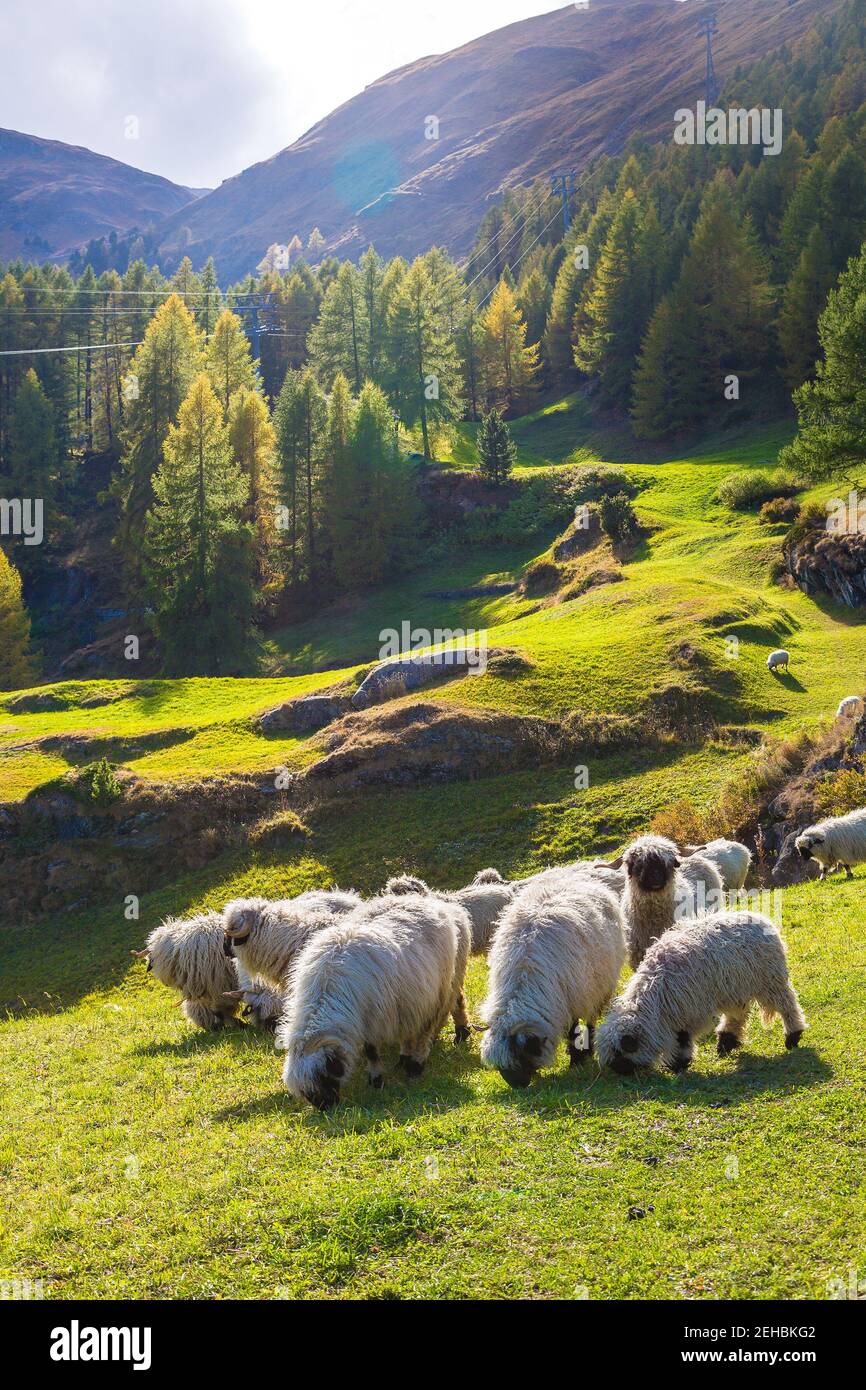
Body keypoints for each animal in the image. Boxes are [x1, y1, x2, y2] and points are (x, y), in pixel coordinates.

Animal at [278, 893, 472, 1109]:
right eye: (305, 1092)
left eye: (323, 1077)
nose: (326, 1108)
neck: (326, 989)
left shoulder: (373, 1019)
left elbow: (371, 1051)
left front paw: (376, 1080)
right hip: (408, 1000)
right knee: (409, 1029)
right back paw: (404, 1059)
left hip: (439, 993)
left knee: (424, 1032)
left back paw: (415, 1066)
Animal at [480, 872, 625, 1088]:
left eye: (520, 1059)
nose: (518, 1087)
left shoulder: (572, 1000)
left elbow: (573, 1030)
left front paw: (576, 1060)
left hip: (597, 987)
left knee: (591, 1017)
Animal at [597, 911, 806, 1075]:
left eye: (620, 1051)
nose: (619, 1071)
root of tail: (761, 918)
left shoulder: (688, 1013)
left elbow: (682, 1039)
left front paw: (679, 1063)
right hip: (736, 987)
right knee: (737, 1015)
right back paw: (726, 1042)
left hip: (770, 980)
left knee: (787, 1004)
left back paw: (793, 1035)